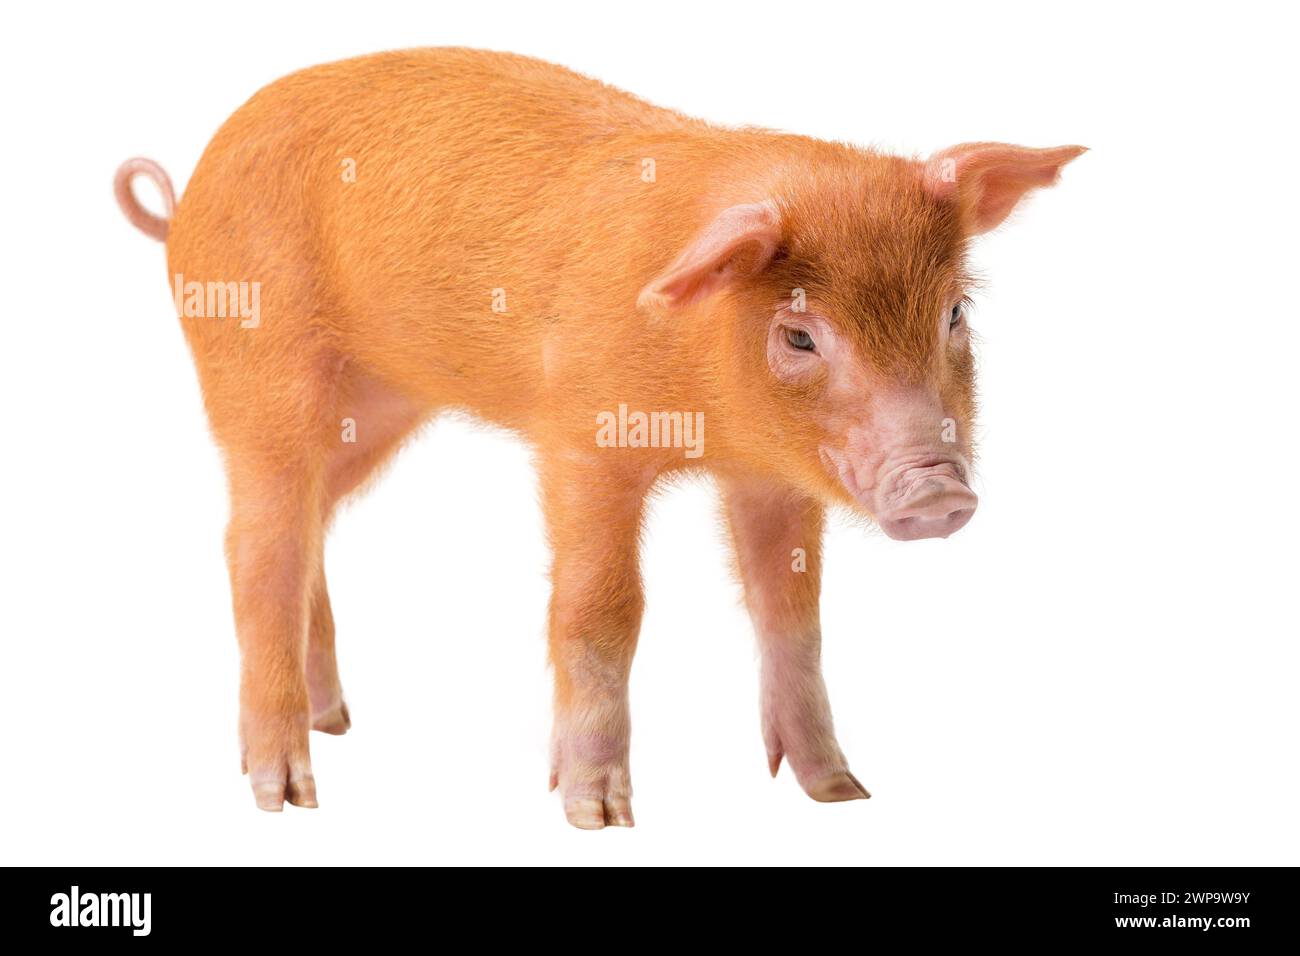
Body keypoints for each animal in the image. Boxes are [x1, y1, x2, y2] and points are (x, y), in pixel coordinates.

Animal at [114, 48, 1083, 829]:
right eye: (801, 336)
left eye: (954, 314)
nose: (939, 489)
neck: (704, 409)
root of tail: (185, 201)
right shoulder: (582, 440)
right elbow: (600, 610)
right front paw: (598, 816)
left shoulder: (771, 475)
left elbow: (793, 614)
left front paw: (842, 794)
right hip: (257, 367)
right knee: (256, 543)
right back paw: (287, 794)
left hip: (381, 406)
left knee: (309, 521)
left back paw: (337, 719)